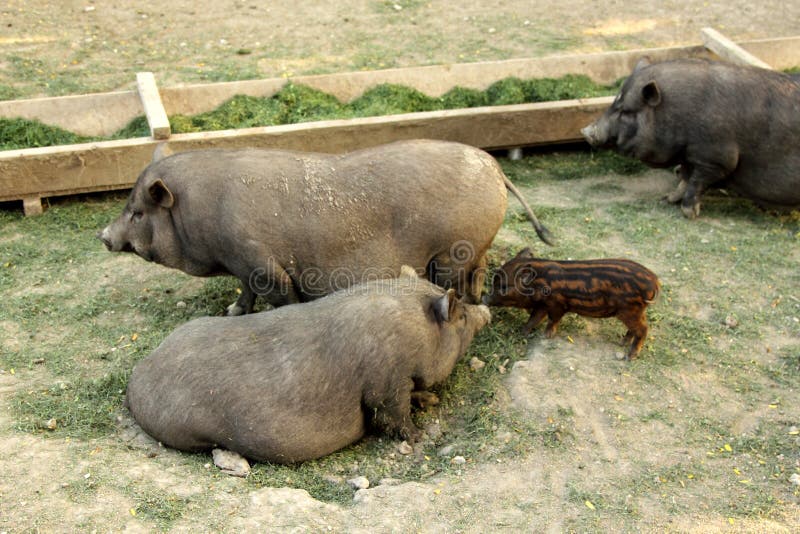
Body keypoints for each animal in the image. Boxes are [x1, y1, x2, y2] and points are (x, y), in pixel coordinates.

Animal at [98, 139, 553, 315]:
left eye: (137, 212)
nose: (103, 235)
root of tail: (493, 166)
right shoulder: (243, 265)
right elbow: (244, 292)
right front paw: (231, 311)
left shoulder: (261, 263)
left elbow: (280, 296)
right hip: (476, 246)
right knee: (478, 275)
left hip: (452, 250)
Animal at [124, 266, 491, 464]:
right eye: (460, 316)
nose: (485, 311)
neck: (417, 334)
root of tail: (139, 372)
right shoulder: (387, 381)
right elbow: (393, 413)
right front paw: (419, 437)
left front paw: (430, 400)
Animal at [482, 248, 659, 359]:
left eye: (503, 287)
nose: (483, 298)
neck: (541, 283)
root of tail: (655, 282)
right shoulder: (543, 305)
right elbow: (533, 319)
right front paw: (521, 332)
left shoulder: (557, 304)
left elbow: (552, 319)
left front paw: (546, 336)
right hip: (635, 311)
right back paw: (622, 342)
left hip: (629, 310)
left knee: (643, 329)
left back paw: (630, 356)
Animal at [581, 58, 800, 218]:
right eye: (614, 101)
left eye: (626, 111)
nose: (586, 131)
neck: (678, 114)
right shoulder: (687, 153)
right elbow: (685, 177)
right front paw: (667, 199)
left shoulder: (717, 159)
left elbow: (696, 181)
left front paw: (688, 214)